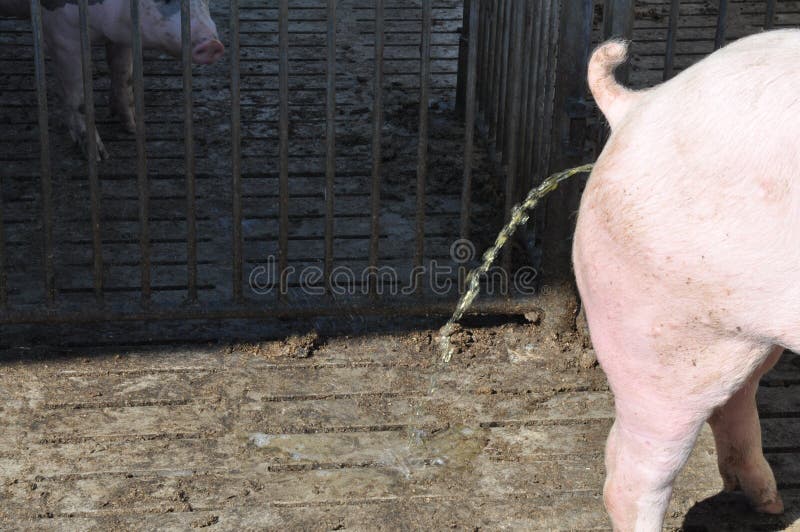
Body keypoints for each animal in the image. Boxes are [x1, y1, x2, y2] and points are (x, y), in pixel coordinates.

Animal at [0, 0, 224, 160]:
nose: (213, 44)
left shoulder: (123, 36)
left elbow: (124, 75)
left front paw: (131, 127)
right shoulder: (61, 35)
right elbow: (78, 97)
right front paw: (98, 156)